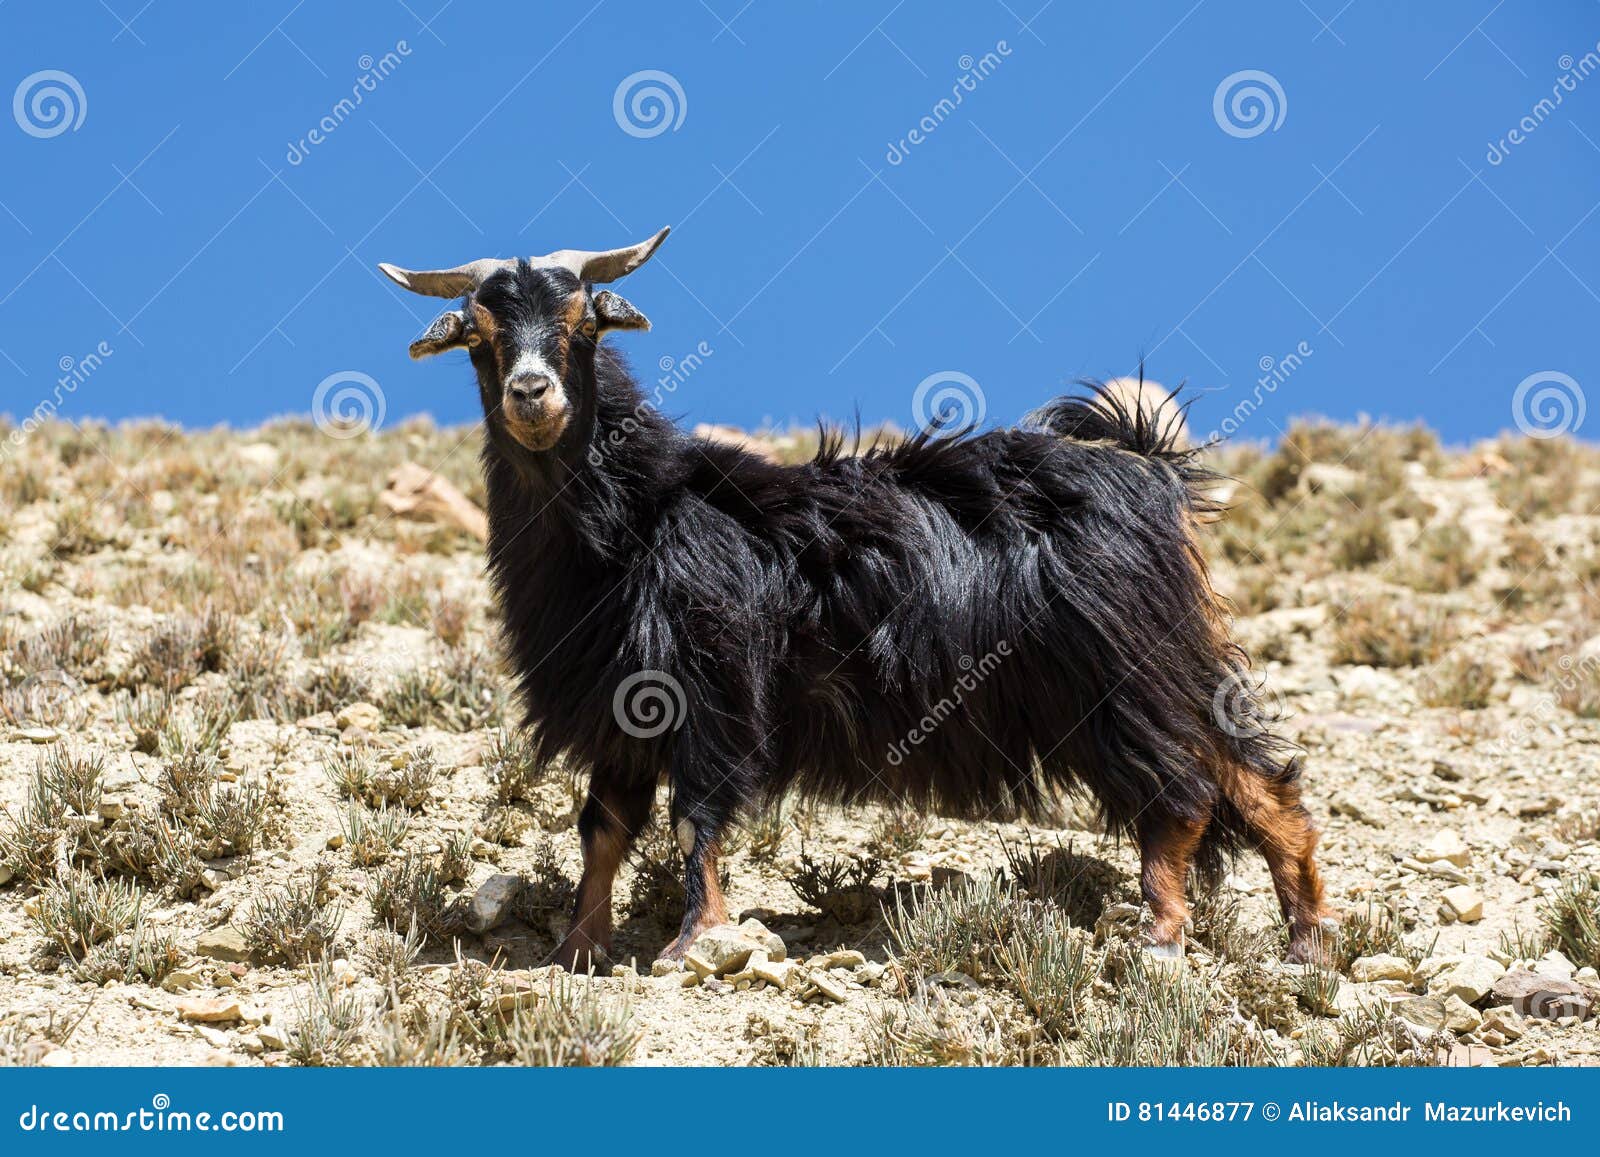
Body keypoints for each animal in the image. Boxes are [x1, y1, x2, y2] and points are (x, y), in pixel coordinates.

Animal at [379, 229, 1329, 969]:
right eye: (479, 334)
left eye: (582, 325)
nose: (532, 394)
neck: (638, 515)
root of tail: (1149, 468)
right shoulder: (618, 705)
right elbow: (602, 828)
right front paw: (578, 947)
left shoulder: (709, 688)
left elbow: (693, 816)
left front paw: (692, 940)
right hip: (1166, 670)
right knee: (1257, 786)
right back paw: (1306, 944)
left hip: (1123, 673)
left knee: (1182, 792)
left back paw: (1161, 938)